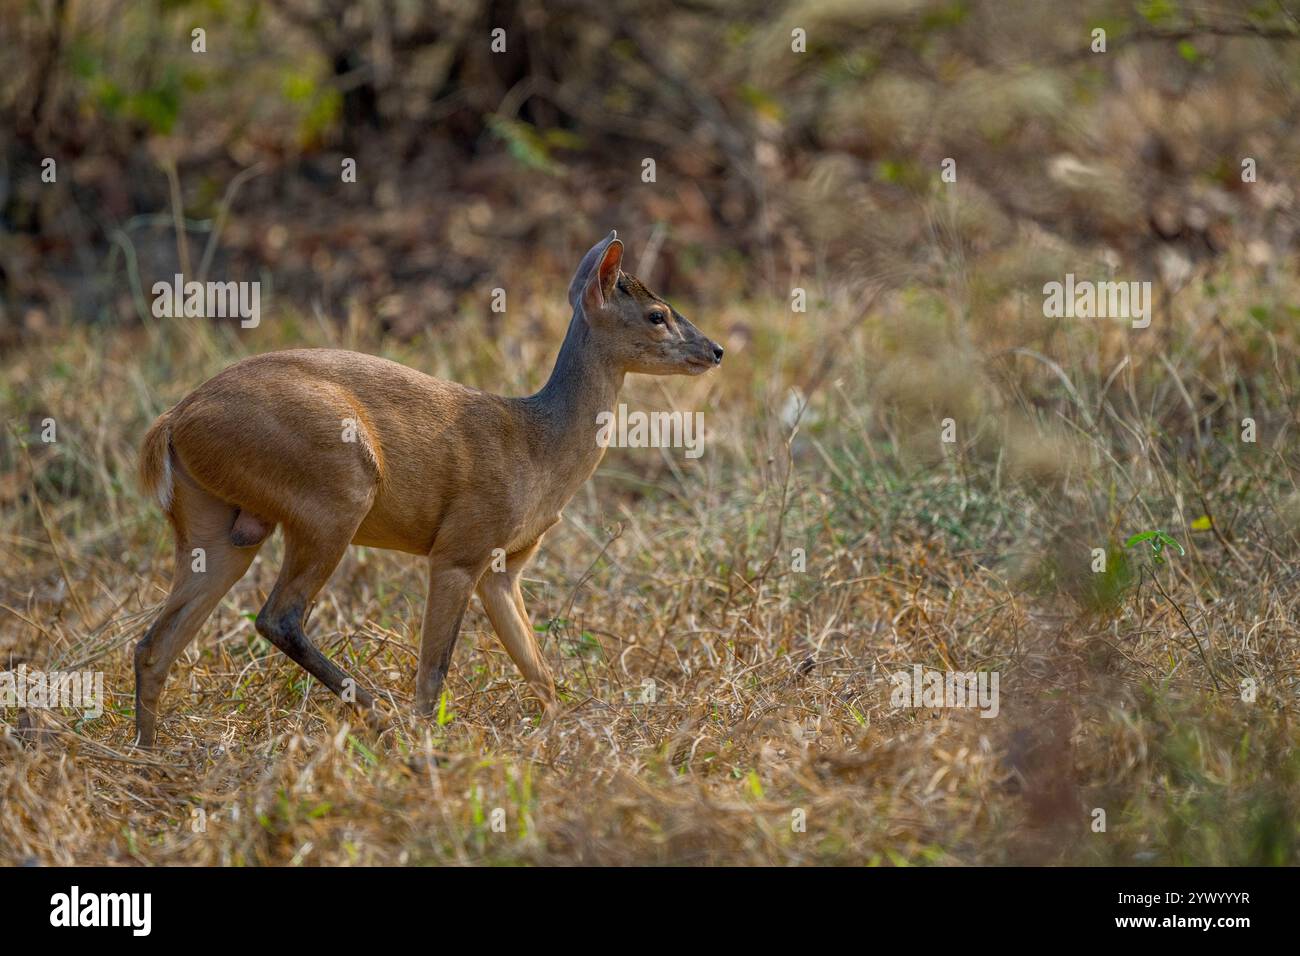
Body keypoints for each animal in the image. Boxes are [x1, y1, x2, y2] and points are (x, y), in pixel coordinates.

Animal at [132, 231, 723, 747]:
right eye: (657, 315)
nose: (715, 350)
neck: (539, 449)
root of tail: (173, 421)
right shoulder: (460, 547)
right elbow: (435, 673)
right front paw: (432, 743)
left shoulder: (504, 568)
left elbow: (540, 673)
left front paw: (566, 743)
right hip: (335, 491)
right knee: (277, 616)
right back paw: (380, 718)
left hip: (218, 525)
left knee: (154, 644)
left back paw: (147, 754)